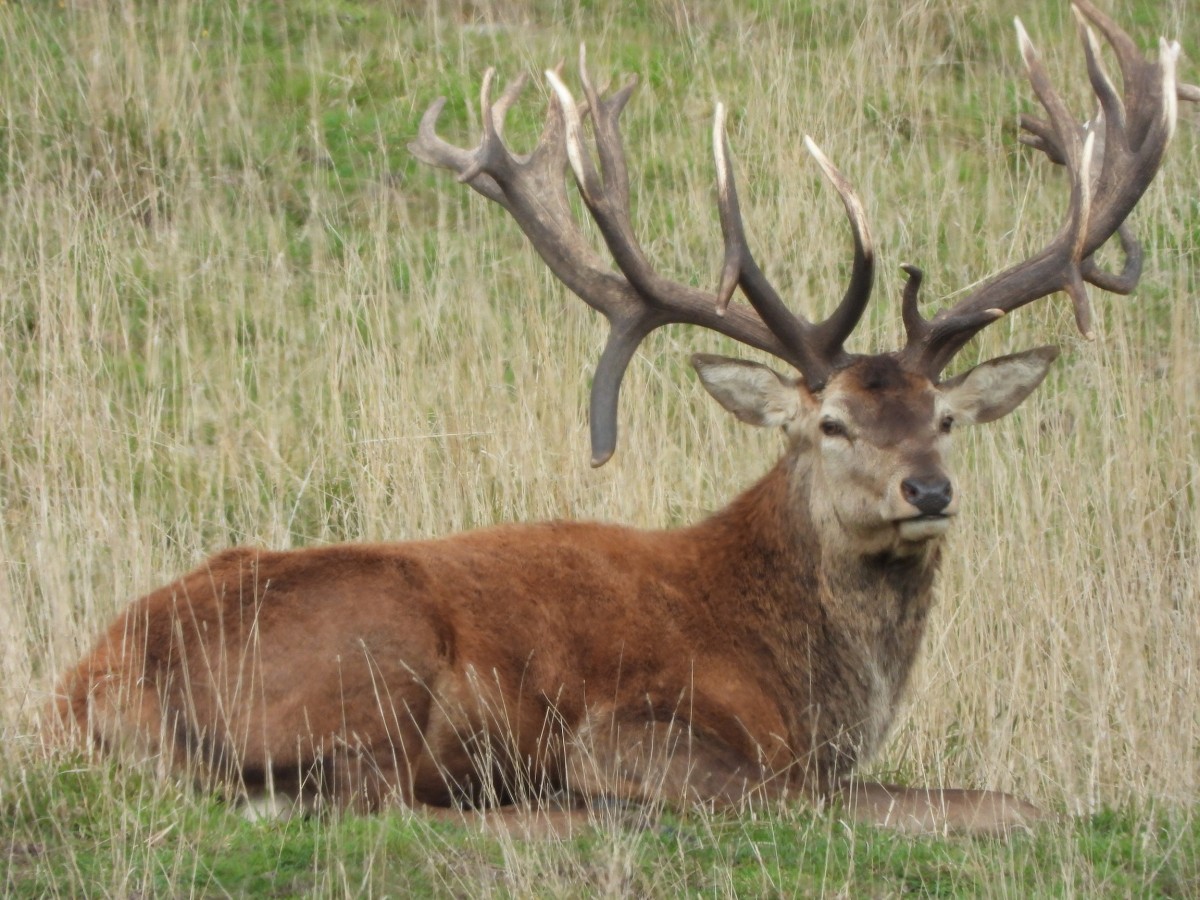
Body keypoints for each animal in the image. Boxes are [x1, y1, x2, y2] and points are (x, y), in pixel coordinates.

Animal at [50, 2, 1195, 835]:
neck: (813, 681)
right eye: (830, 424)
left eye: (945, 418)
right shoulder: (643, 726)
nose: (928, 490)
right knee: (370, 805)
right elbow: (974, 801)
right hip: (377, 653)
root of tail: (92, 686)